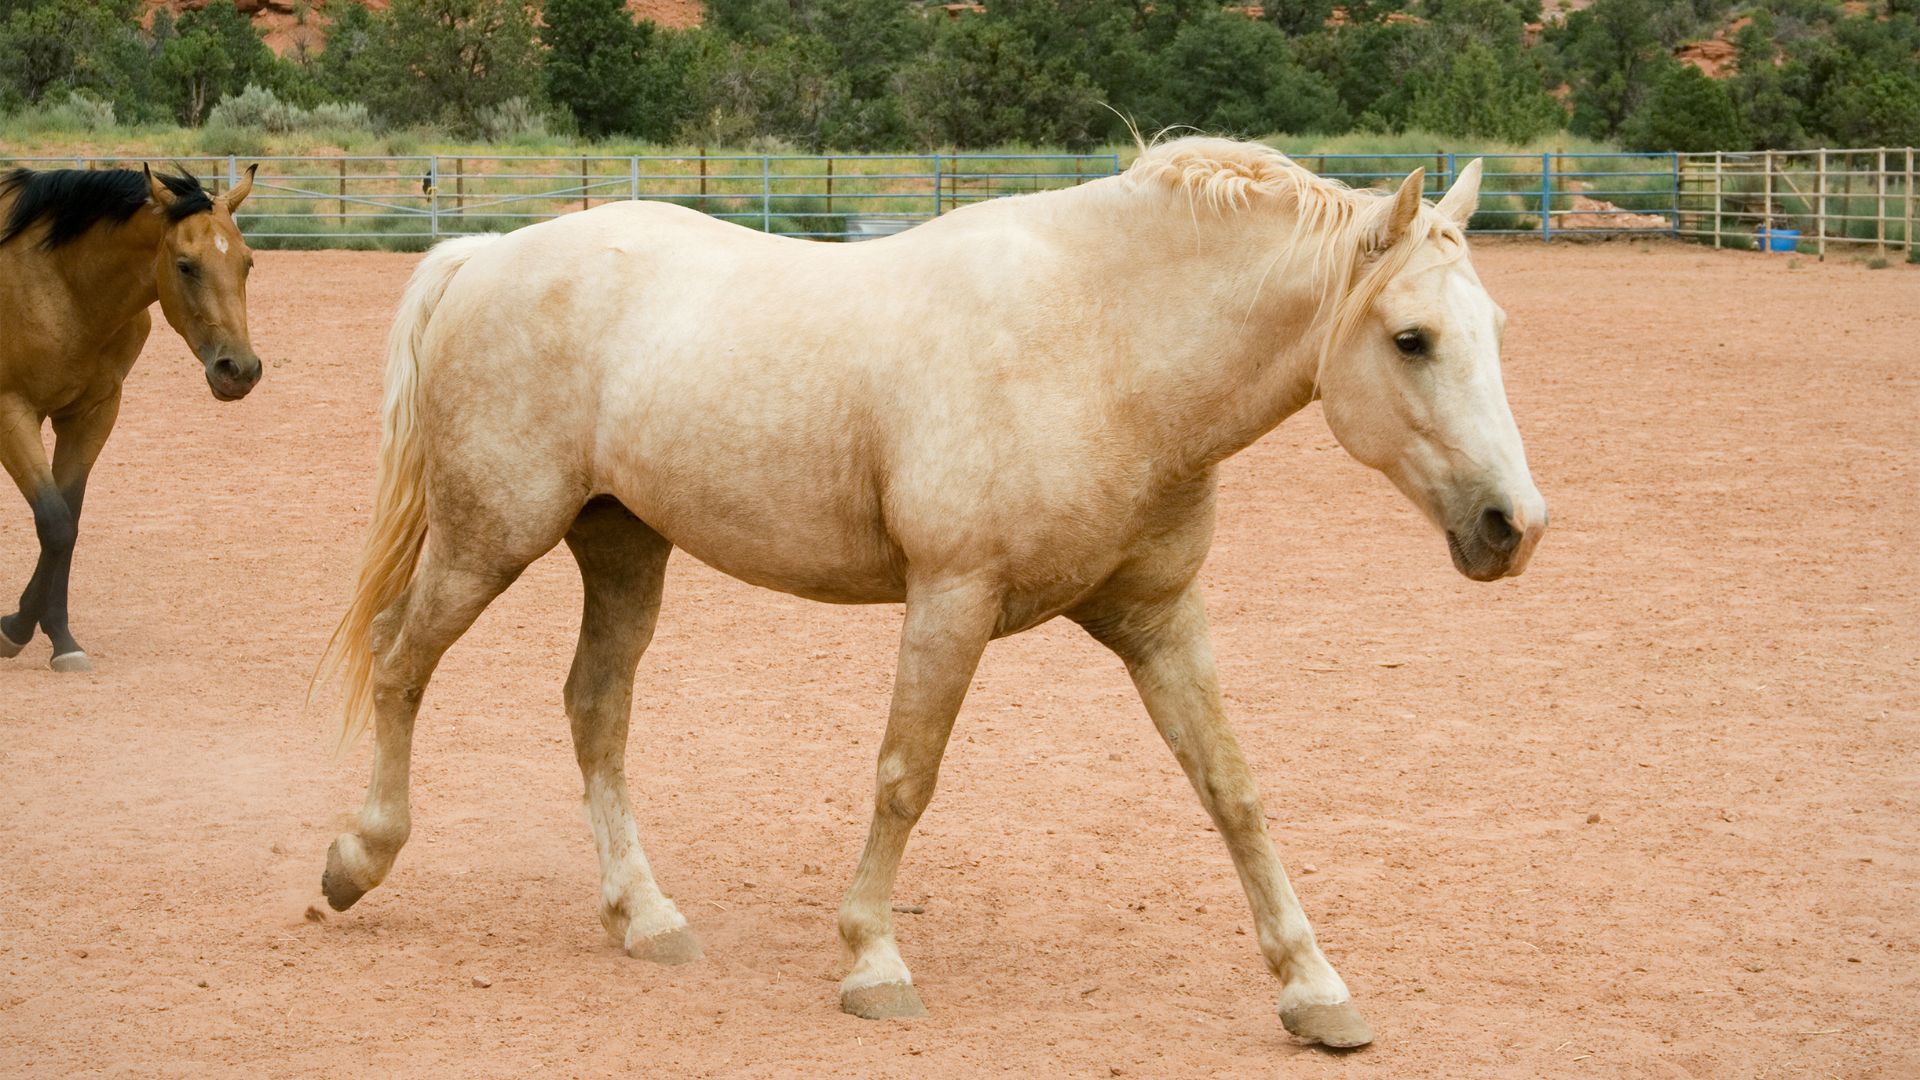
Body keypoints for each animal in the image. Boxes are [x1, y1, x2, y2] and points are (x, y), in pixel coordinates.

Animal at [0, 164, 263, 672]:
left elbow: (67, 524)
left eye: (247, 263)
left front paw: (57, 637)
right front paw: (15, 630)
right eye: (185, 265)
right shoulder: (11, 412)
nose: (238, 369)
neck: (60, 281)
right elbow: (54, 522)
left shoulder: (92, 415)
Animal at [314, 137, 1546, 1050]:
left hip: (622, 547)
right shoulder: (952, 599)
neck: (1103, 350)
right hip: (490, 539)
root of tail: (486, 254)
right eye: (1412, 339)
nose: (1513, 528)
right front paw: (872, 960)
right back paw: (358, 859)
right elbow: (907, 776)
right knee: (403, 663)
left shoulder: (1159, 620)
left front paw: (1316, 988)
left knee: (594, 710)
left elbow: (1232, 790)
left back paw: (645, 916)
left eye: (1493, 331)